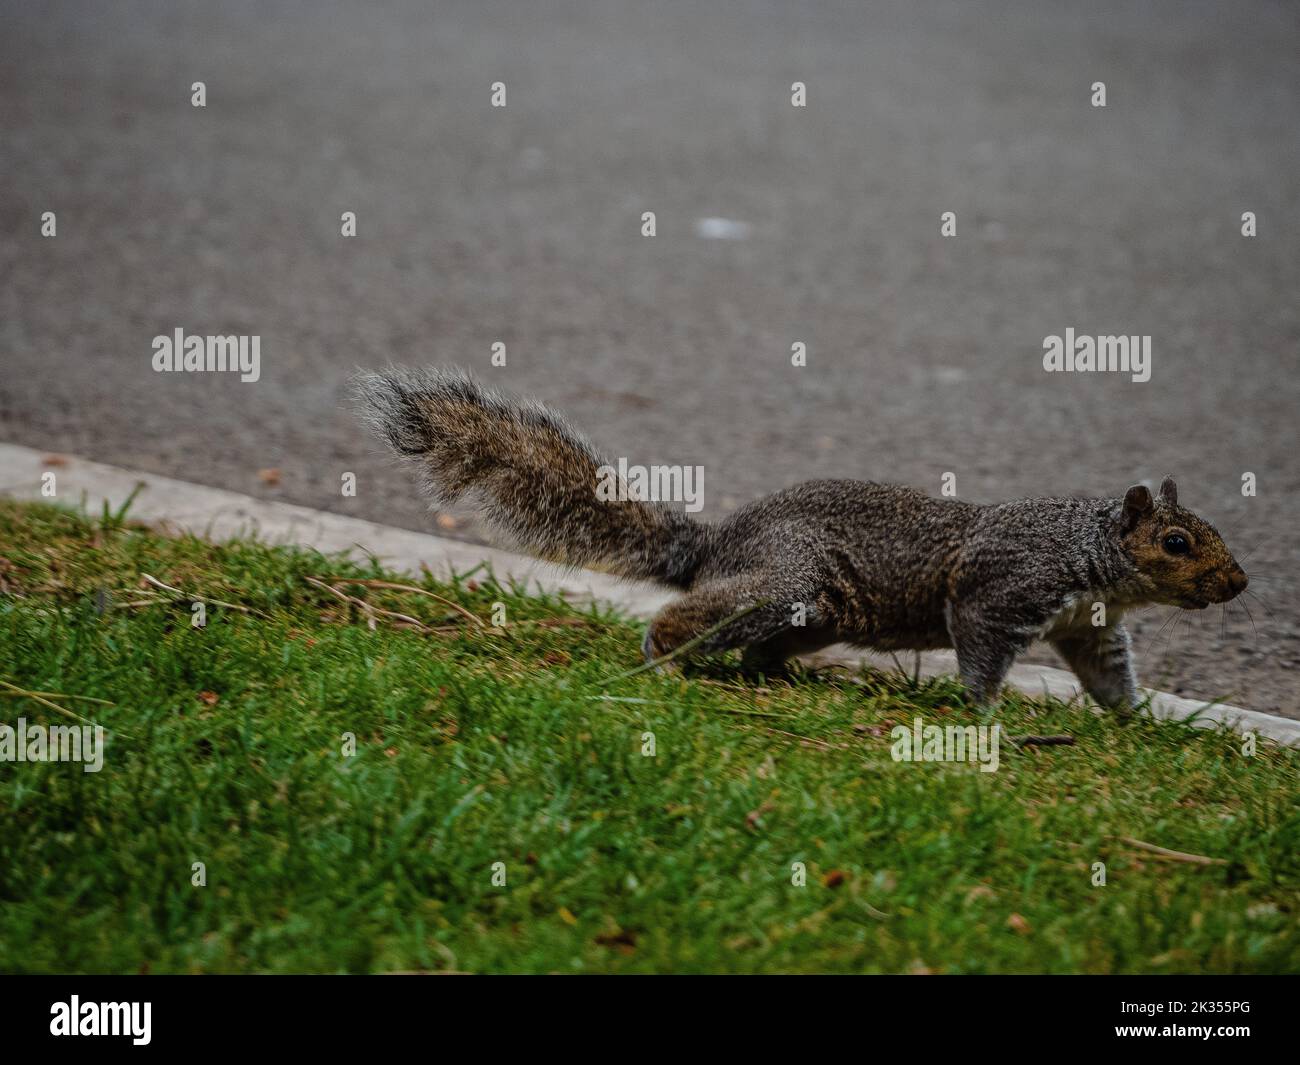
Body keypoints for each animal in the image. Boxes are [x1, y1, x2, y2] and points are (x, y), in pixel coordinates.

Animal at [354, 366, 1249, 710]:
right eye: (1176, 541)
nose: (1238, 583)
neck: (1087, 557)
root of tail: (718, 546)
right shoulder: (1000, 588)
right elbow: (982, 647)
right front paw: (984, 711)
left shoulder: (1087, 626)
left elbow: (1108, 674)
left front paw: (1138, 720)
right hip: (785, 581)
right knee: (691, 619)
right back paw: (664, 658)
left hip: (816, 613)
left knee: (761, 646)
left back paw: (780, 676)